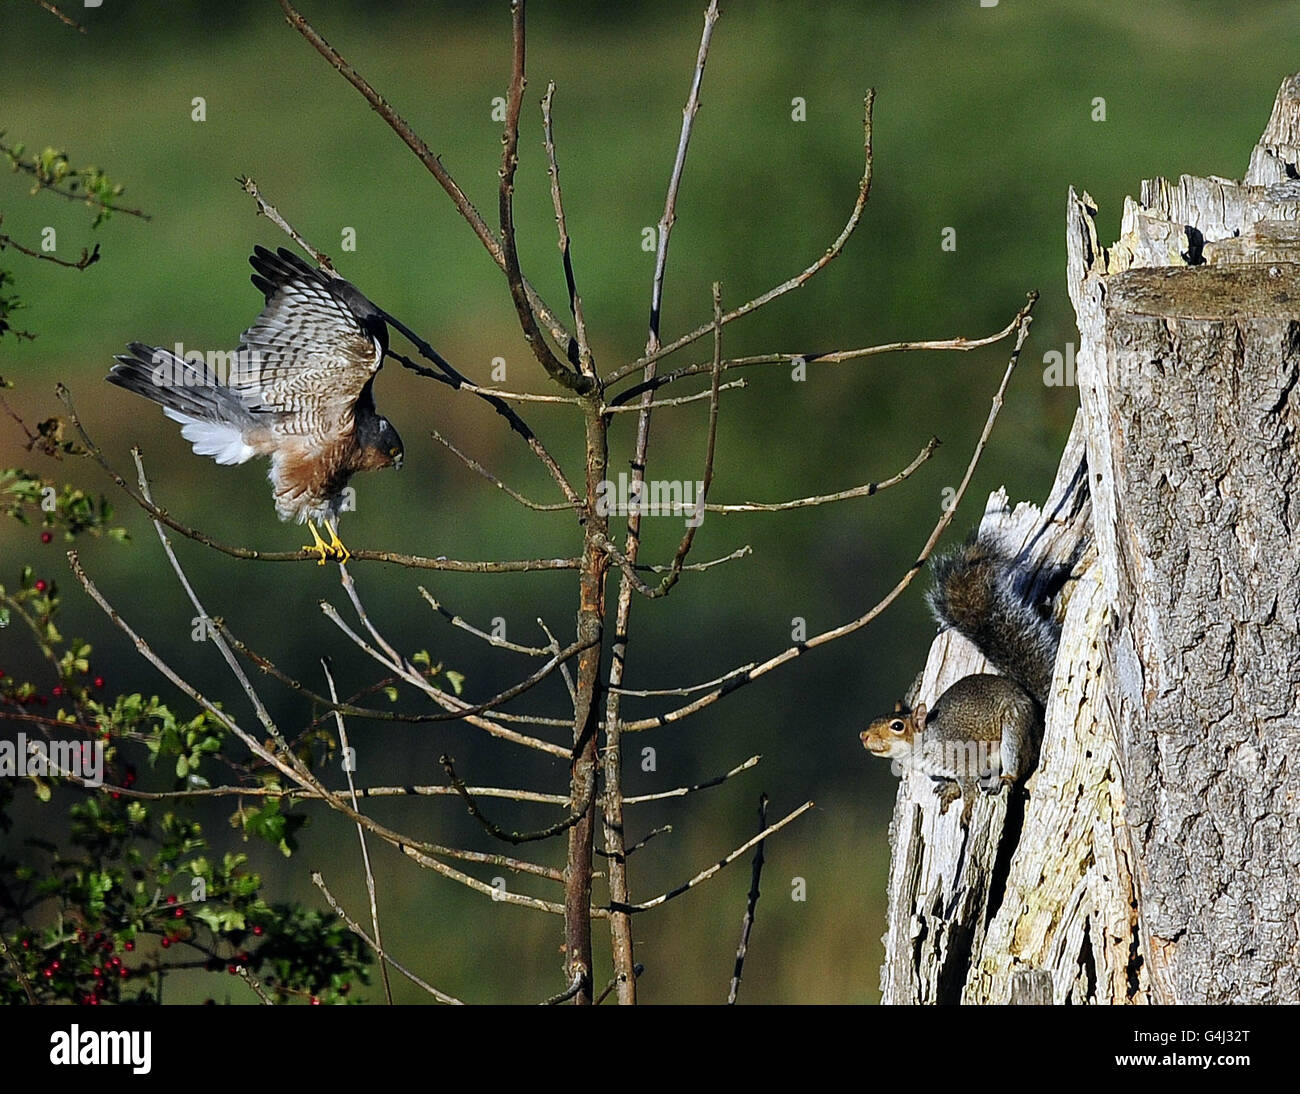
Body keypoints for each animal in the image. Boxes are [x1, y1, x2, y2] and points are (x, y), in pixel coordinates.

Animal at [861, 530, 1062, 820]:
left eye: (897, 726)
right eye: (876, 718)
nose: (864, 736)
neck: (927, 743)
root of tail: (1039, 716)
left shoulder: (966, 758)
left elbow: (969, 786)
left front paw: (967, 806)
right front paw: (951, 790)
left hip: (1014, 730)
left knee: (1016, 764)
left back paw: (1007, 778)